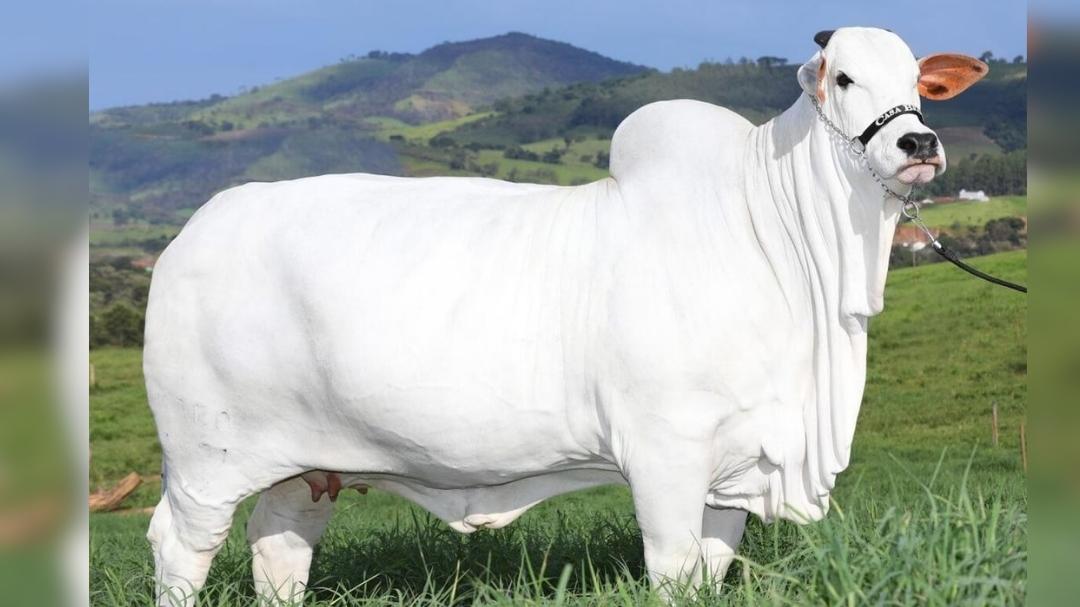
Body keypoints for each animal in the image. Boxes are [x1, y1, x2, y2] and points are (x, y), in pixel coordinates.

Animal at [143, 27, 987, 605]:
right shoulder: (665, 454)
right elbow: (673, 571)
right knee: (179, 547)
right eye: (843, 76)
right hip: (205, 459)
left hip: (307, 466)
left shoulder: (734, 468)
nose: (919, 142)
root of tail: (190, 234)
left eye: (917, 80)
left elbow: (709, 572)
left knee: (279, 546)